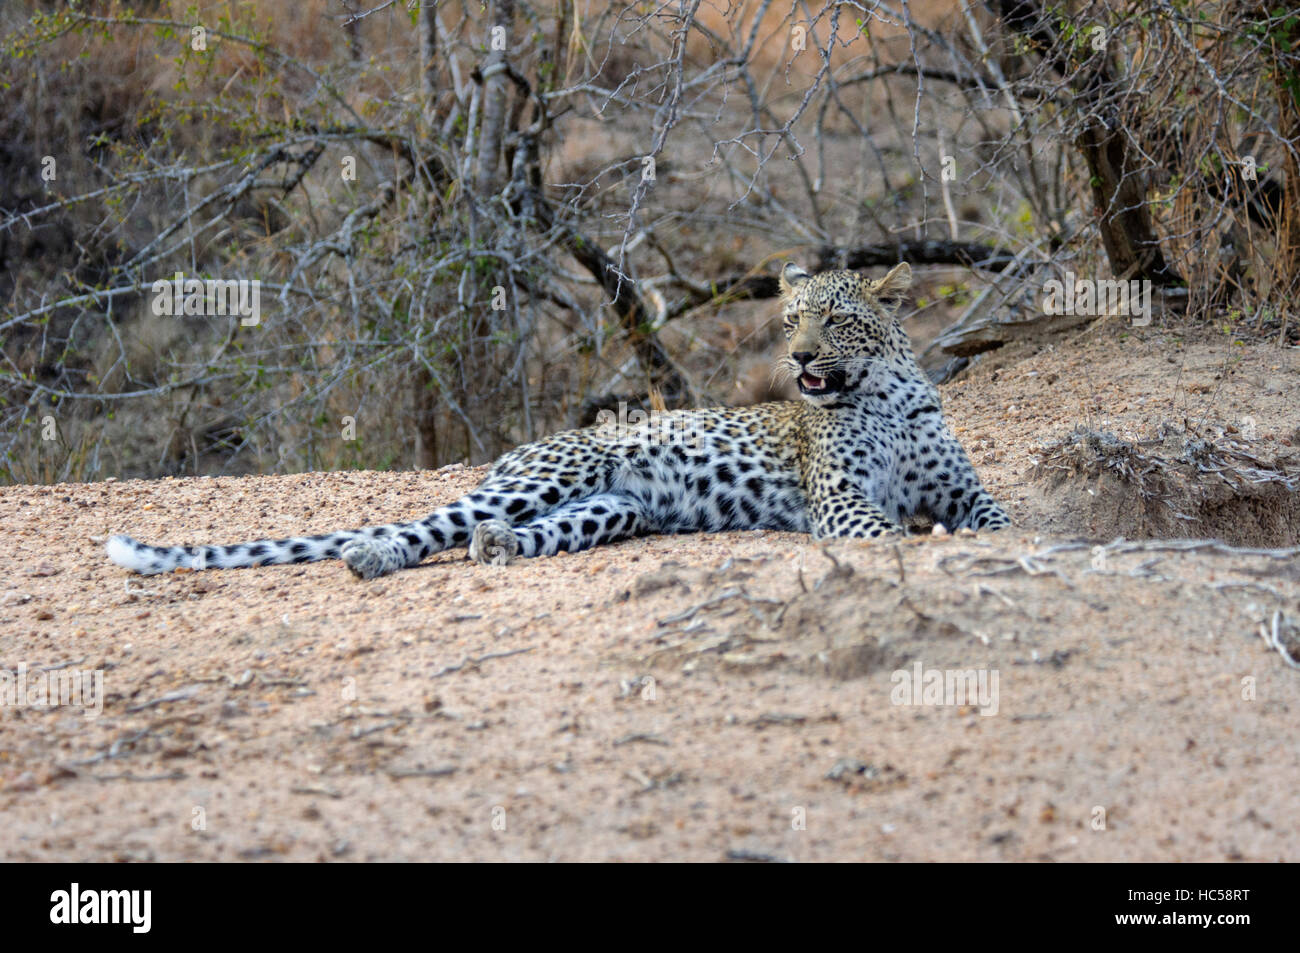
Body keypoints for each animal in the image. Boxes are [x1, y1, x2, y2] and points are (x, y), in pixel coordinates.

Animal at [106, 261, 1010, 579]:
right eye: (791, 320)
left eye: (837, 319)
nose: (797, 359)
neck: (887, 393)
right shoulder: (843, 498)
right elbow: (886, 531)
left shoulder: (963, 489)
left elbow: (1000, 517)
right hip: (550, 475)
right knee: (421, 524)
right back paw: (372, 554)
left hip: (613, 507)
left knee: (503, 533)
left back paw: (497, 548)